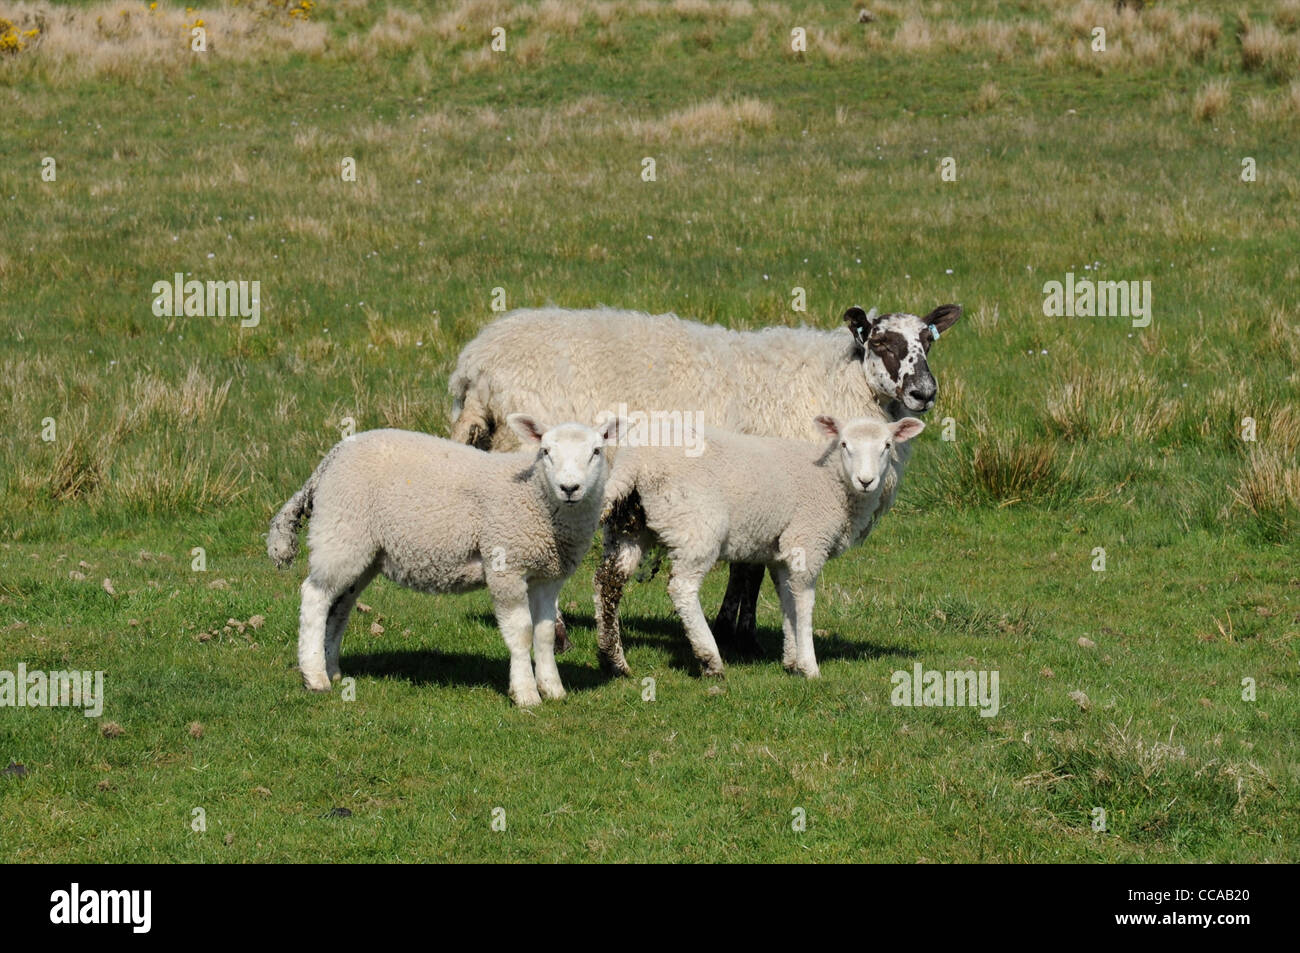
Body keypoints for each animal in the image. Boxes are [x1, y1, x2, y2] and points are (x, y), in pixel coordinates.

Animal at [266, 414, 622, 707]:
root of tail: (329, 461)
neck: (539, 500)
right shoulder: (505, 563)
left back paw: (332, 668)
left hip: (363, 550)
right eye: (546, 451)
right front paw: (525, 694)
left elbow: (545, 633)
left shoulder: (548, 575)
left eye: (596, 451)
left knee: (338, 606)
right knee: (315, 597)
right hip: (342, 532)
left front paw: (553, 689)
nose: (570, 487)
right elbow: (521, 632)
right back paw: (315, 677)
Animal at [594, 414, 926, 678]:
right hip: (697, 524)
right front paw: (809, 666)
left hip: (629, 524)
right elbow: (804, 603)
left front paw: (791, 660)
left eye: (887, 446)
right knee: (682, 588)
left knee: (607, 582)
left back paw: (613, 659)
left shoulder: (782, 551)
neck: (832, 482)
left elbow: (787, 601)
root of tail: (633, 459)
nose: (866, 480)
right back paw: (710, 658)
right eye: (844, 444)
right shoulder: (807, 539)